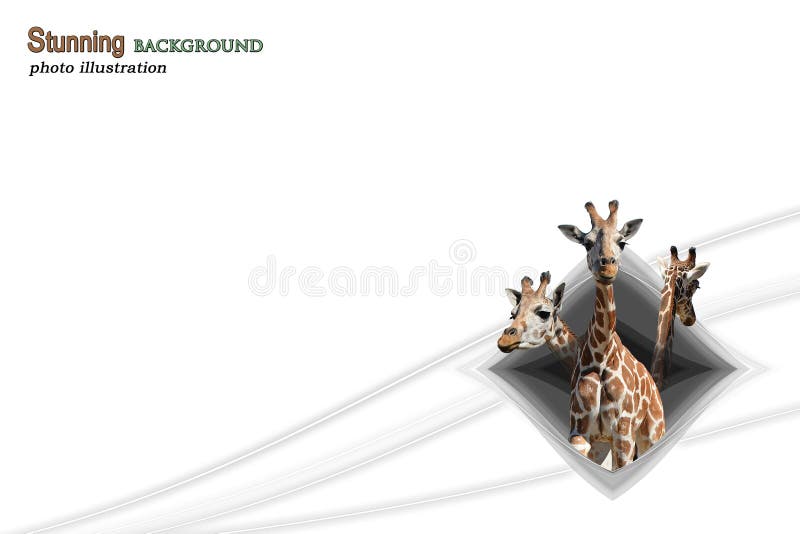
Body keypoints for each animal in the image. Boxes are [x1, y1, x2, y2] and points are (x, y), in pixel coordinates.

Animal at [558, 200, 665, 470]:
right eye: (586, 242)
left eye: (622, 242)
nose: (607, 267)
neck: (600, 355)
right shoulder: (580, 432)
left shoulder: (623, 432)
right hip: (603, 443)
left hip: (652, 433)